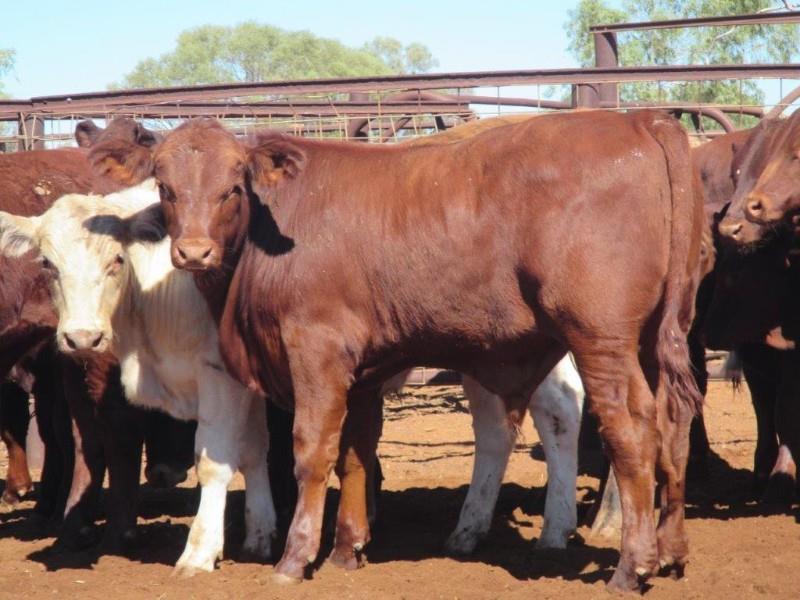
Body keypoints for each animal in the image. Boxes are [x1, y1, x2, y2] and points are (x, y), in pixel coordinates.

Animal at [85, 110, 704, 592]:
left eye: (233, 185)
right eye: (164, 185)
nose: (193, 252)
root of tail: (638, 119)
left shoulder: (316, 352)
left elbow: (312, 452)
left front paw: (295, 557)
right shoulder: (359, 370)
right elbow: (355, 454)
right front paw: (347, 550)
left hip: (601, 338)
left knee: (631, 429)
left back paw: (632, 565)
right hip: (662, 334)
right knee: (674, 421)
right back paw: (672, 551)